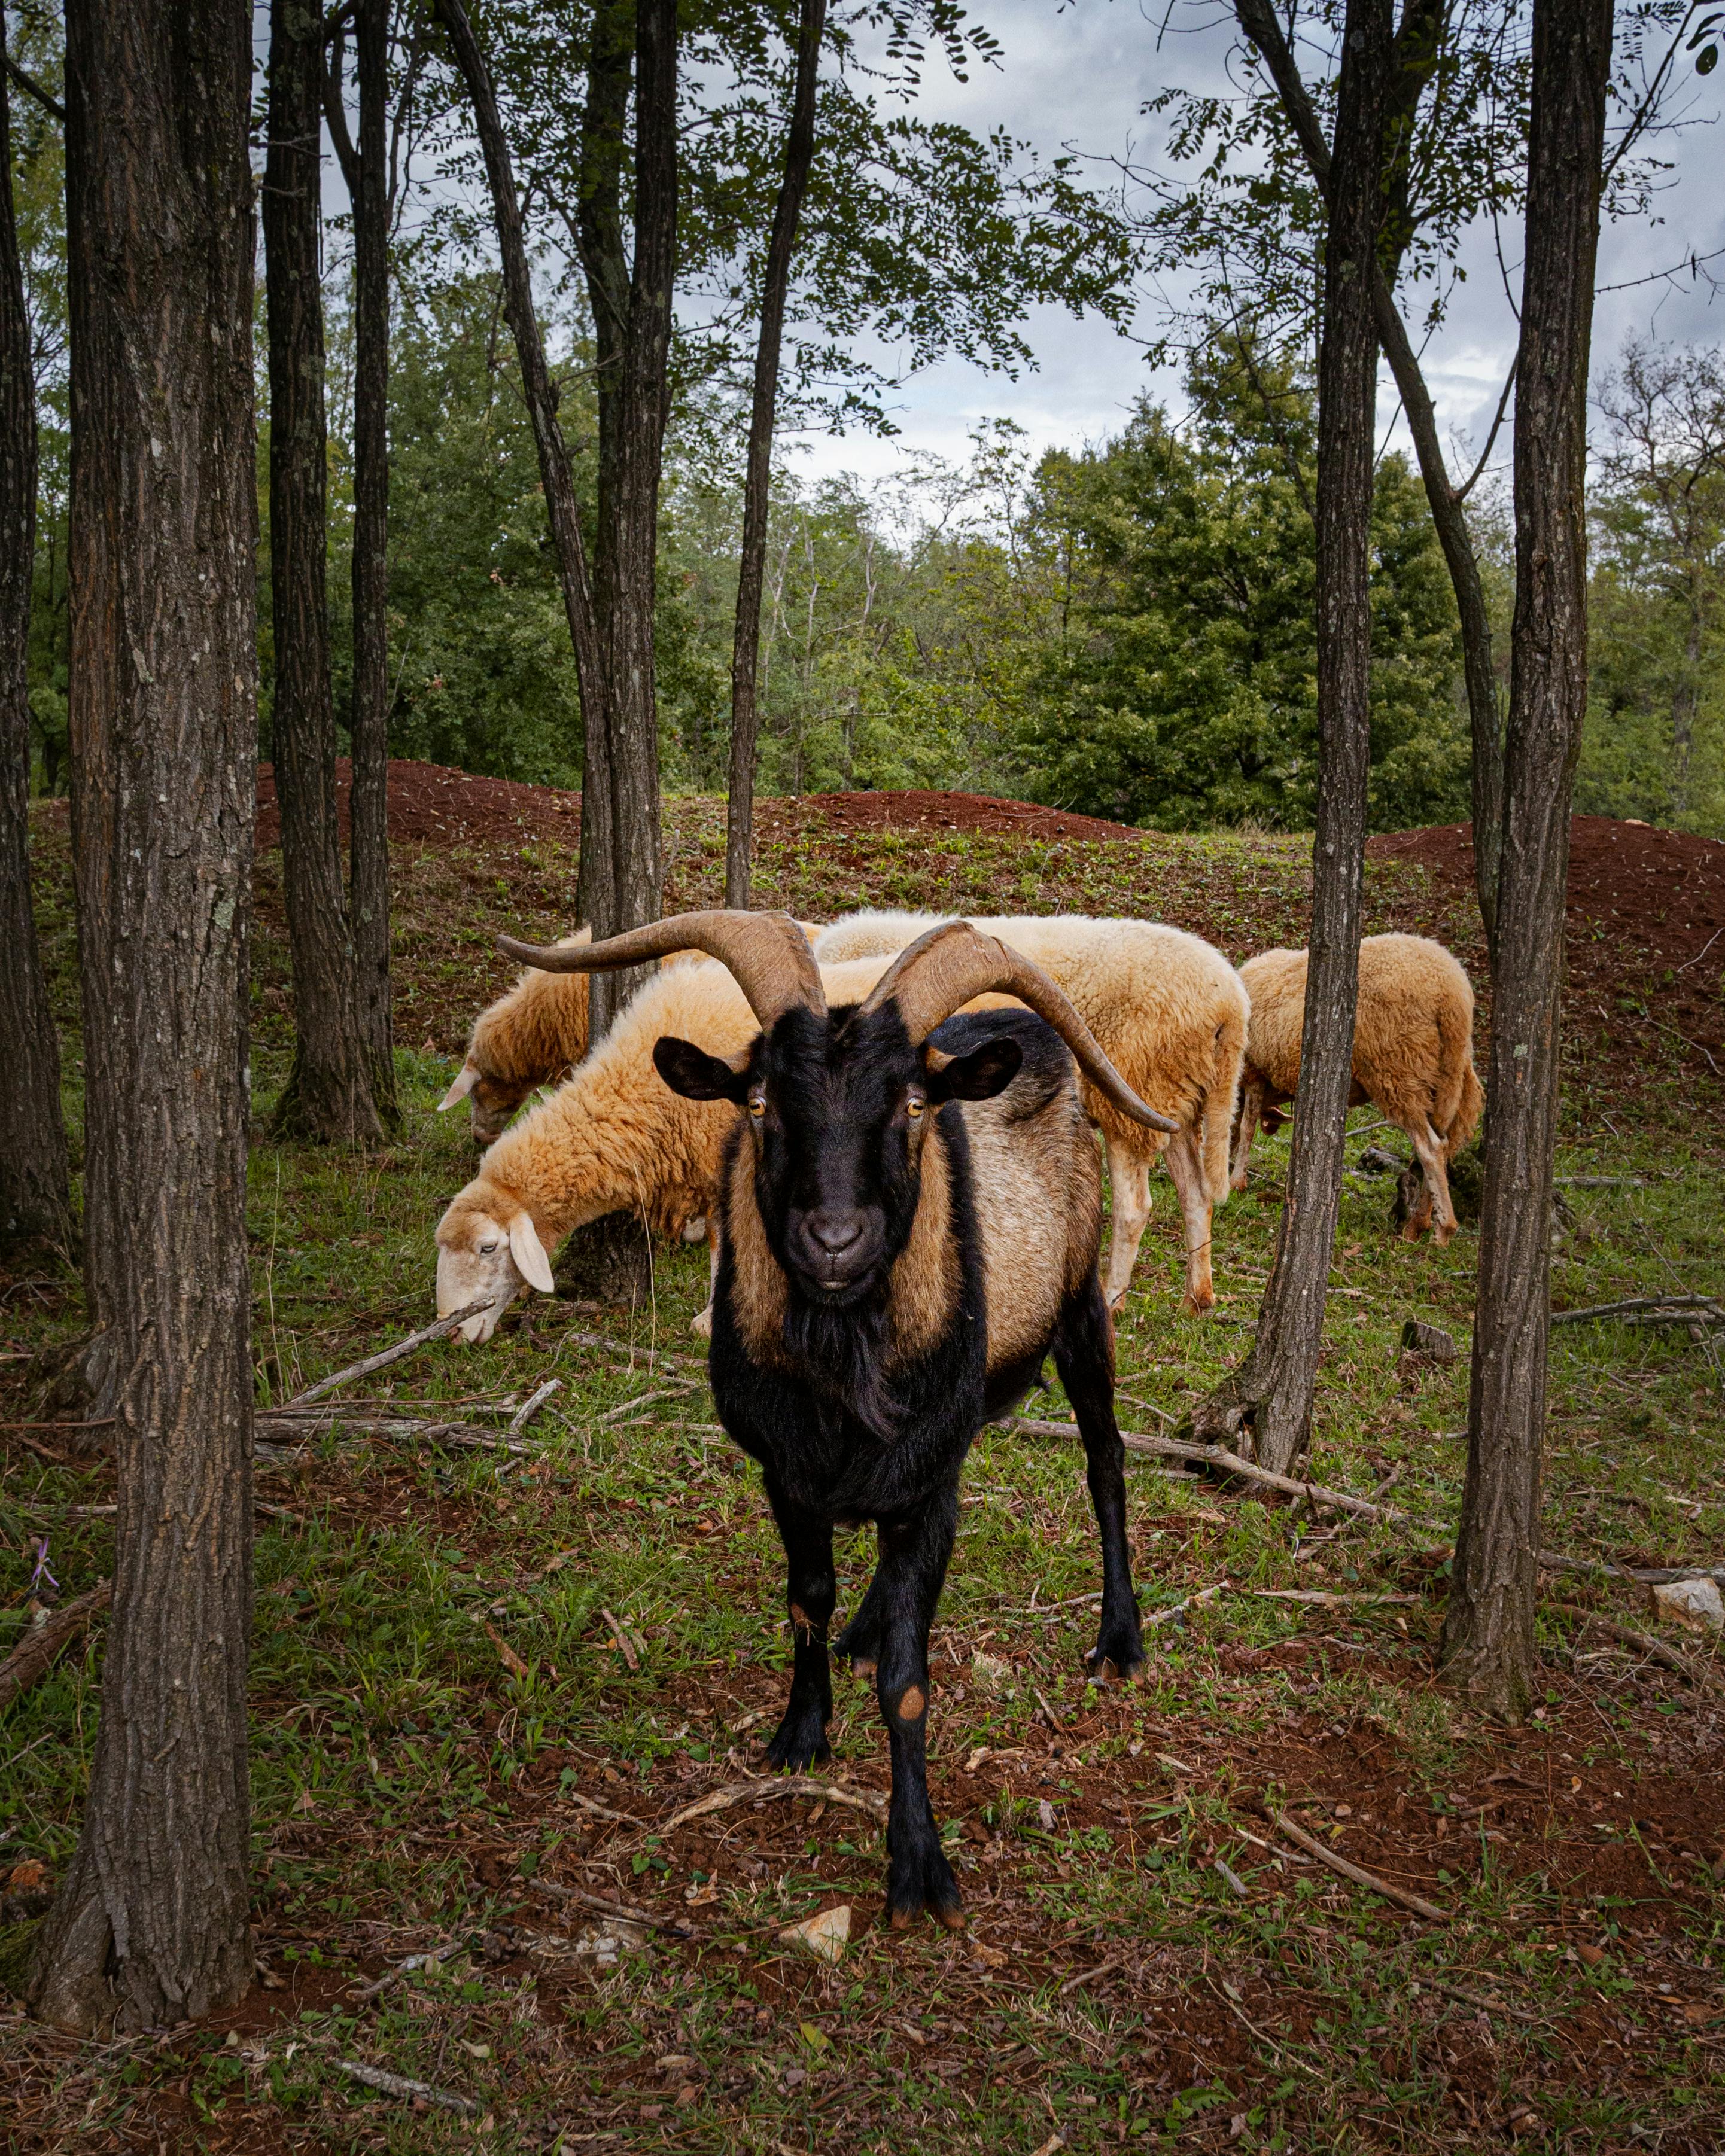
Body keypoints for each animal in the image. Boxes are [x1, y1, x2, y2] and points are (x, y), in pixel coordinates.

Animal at [466, 908, 1173, 1929]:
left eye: (913, 1106)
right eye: (758, 1100)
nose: (834, 1242)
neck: (844, 1370)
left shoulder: (923, 1482)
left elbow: (910, 1683)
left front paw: (917, 1867)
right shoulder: (785, 1471)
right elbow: (805, 1600)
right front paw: (800, 1730)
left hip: (1080, 1309)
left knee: (1105, 1459)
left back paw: (1119, 1641)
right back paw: (872, 1622)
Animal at [812, 910, 1247, 1315]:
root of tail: (1230, 1002)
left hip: (1133, 1099)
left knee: (1134, 1209)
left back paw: (1112, 1301)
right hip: (1174, 1104)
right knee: (1195, 1193)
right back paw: (1197, 1297)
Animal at [1230, 932, 1484, 1244]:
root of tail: (1451, 992)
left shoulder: (1255, 1071)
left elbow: (1247, 1127)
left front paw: (1236, 1182)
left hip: (1398, 1068)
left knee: (1430, 1148)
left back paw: (1439, 1230)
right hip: (1447, 1072)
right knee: (1443, 1144)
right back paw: (1420, 1222)